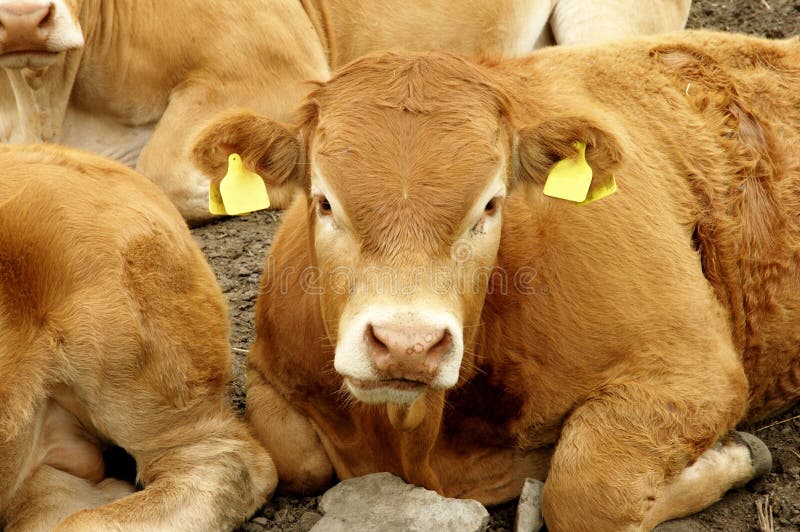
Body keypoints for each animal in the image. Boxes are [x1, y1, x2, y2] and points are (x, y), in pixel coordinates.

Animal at [190, 30, 800, 530]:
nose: (407, 345)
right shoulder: (268, 370)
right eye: (323, 202)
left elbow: (584, 494)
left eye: (490, 204)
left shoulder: (696, 371)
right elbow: (295, 458)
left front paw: (734, 455)